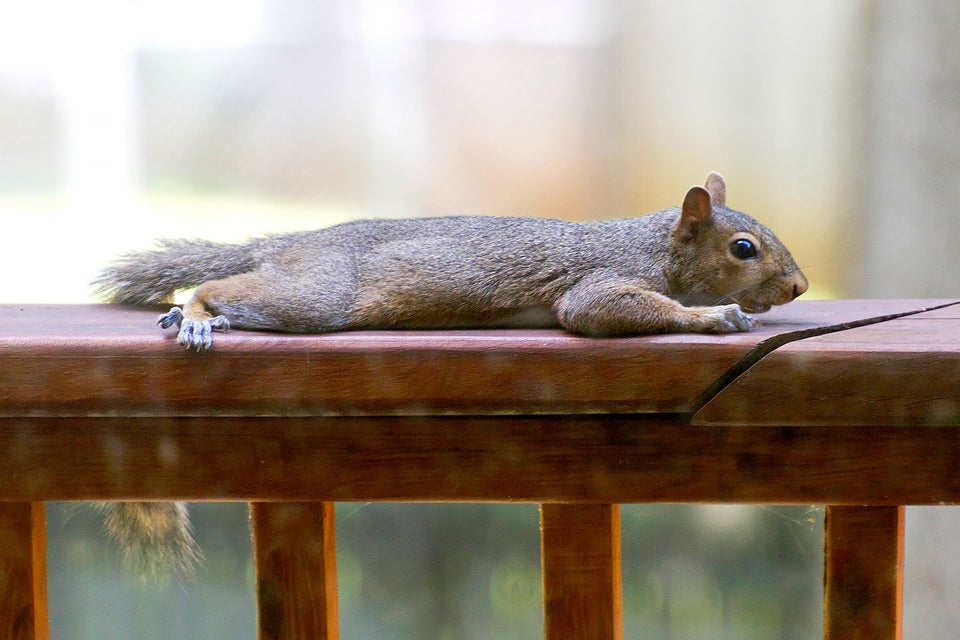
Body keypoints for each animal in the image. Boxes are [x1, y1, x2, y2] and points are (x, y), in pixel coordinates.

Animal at [93, 171, 807, 576]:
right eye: (744, 249)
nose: (800, 286)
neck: (652, 246)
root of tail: (289, 244)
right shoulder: (603, 283)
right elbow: (602, 311)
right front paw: (717, 315)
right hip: (316, 297)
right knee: (219, 287)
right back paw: (194, 315)